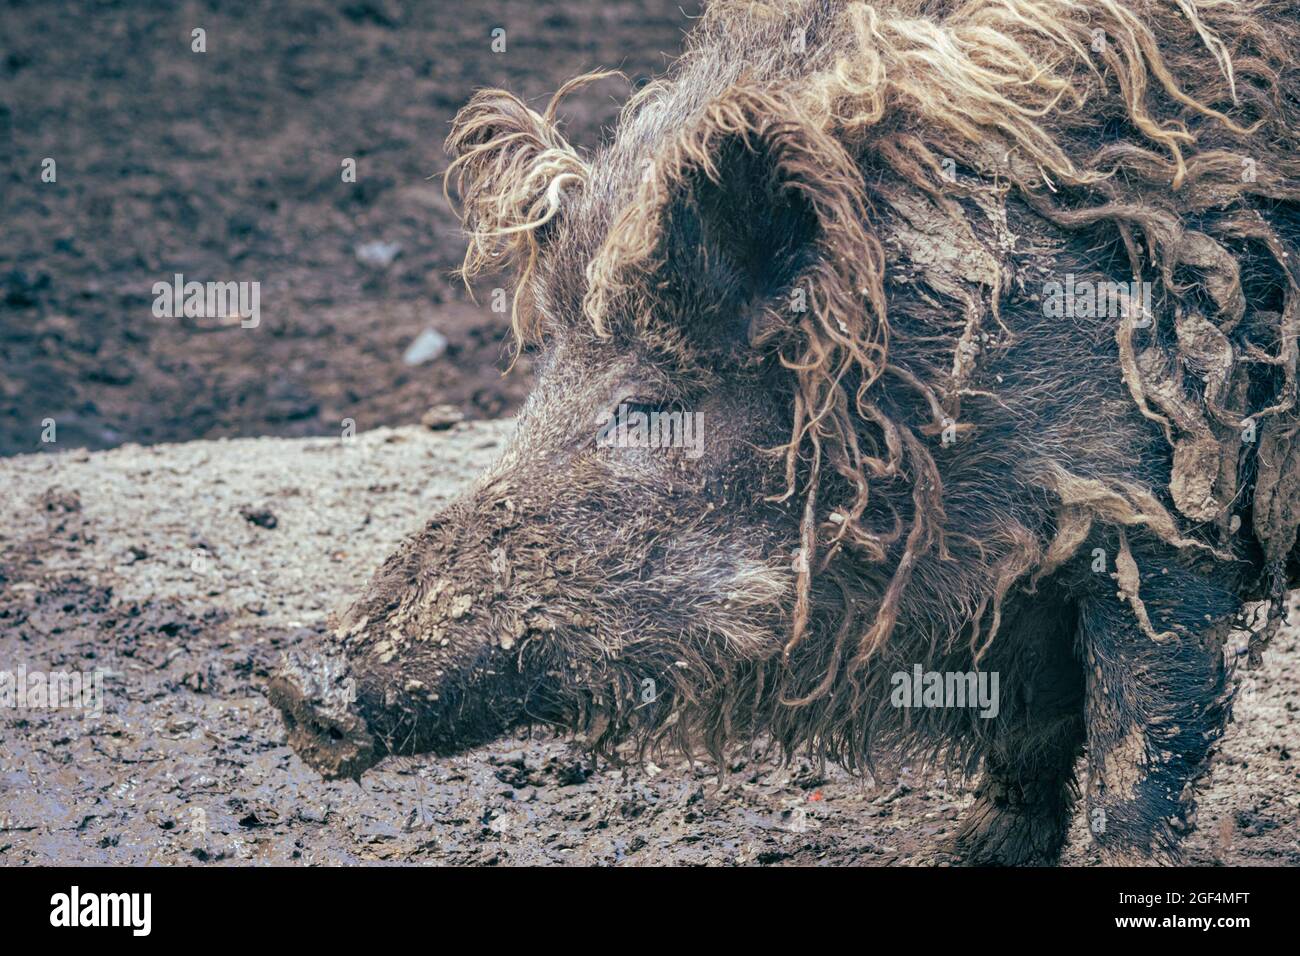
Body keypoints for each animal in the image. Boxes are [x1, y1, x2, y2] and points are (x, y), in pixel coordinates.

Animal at [270, 0, 1300, 865]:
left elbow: (1138, 759)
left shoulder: (1161, 523)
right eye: (539, 389)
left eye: (648, 407)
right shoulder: (1014, 582)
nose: (295, 686)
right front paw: (960, 856)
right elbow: (1026, 743)